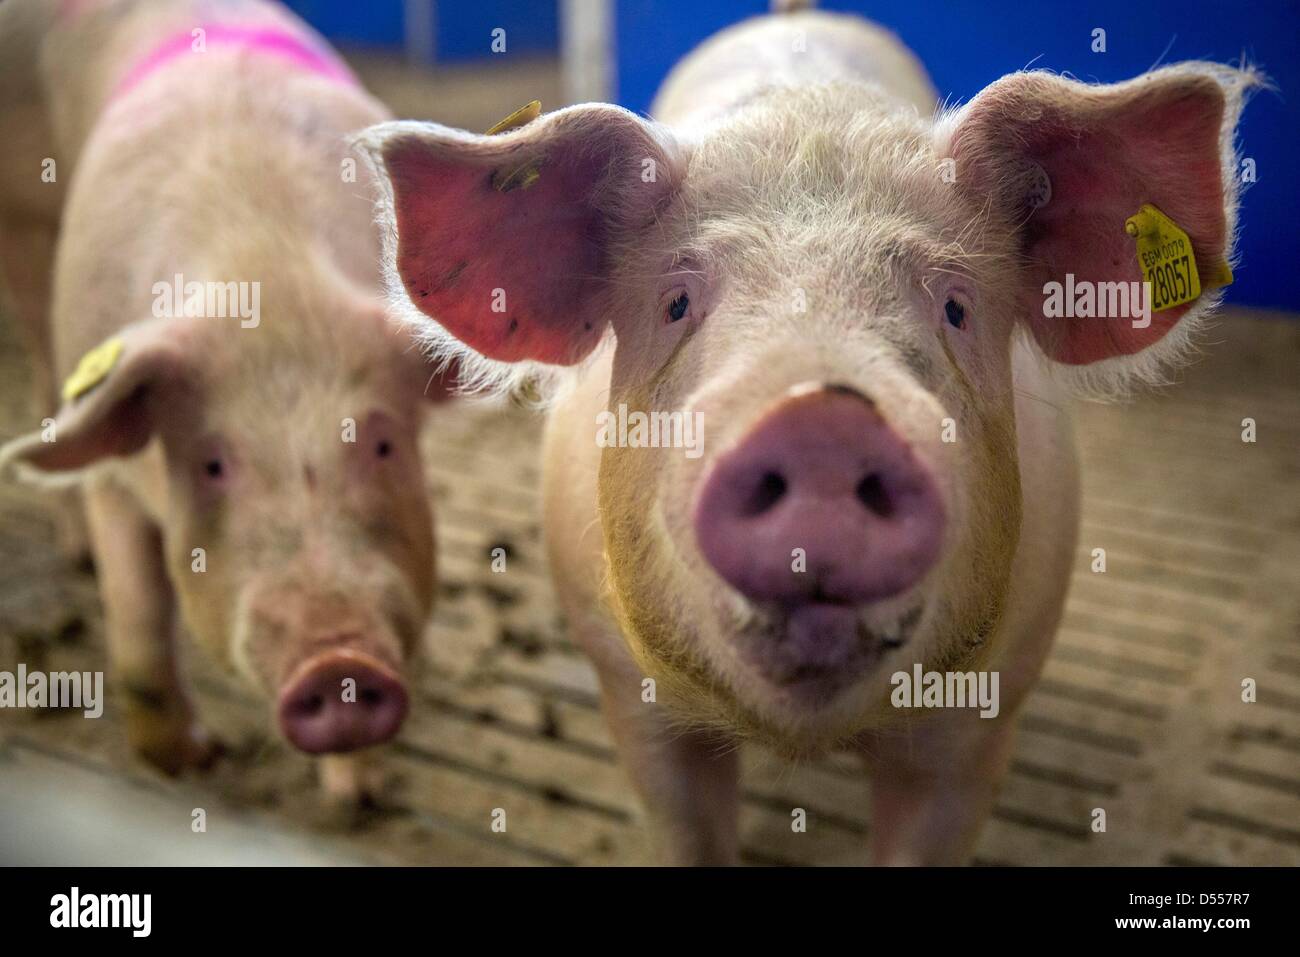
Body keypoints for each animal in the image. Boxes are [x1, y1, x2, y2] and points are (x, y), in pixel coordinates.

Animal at [0, 0, 447, 799]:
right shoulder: (116, 474)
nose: (337, 664)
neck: (266, 276)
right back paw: (75, 553)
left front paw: (356, 797)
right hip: (25, 230)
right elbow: (139, 623)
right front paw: (192, 761)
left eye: (384, 442)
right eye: (211, 463)